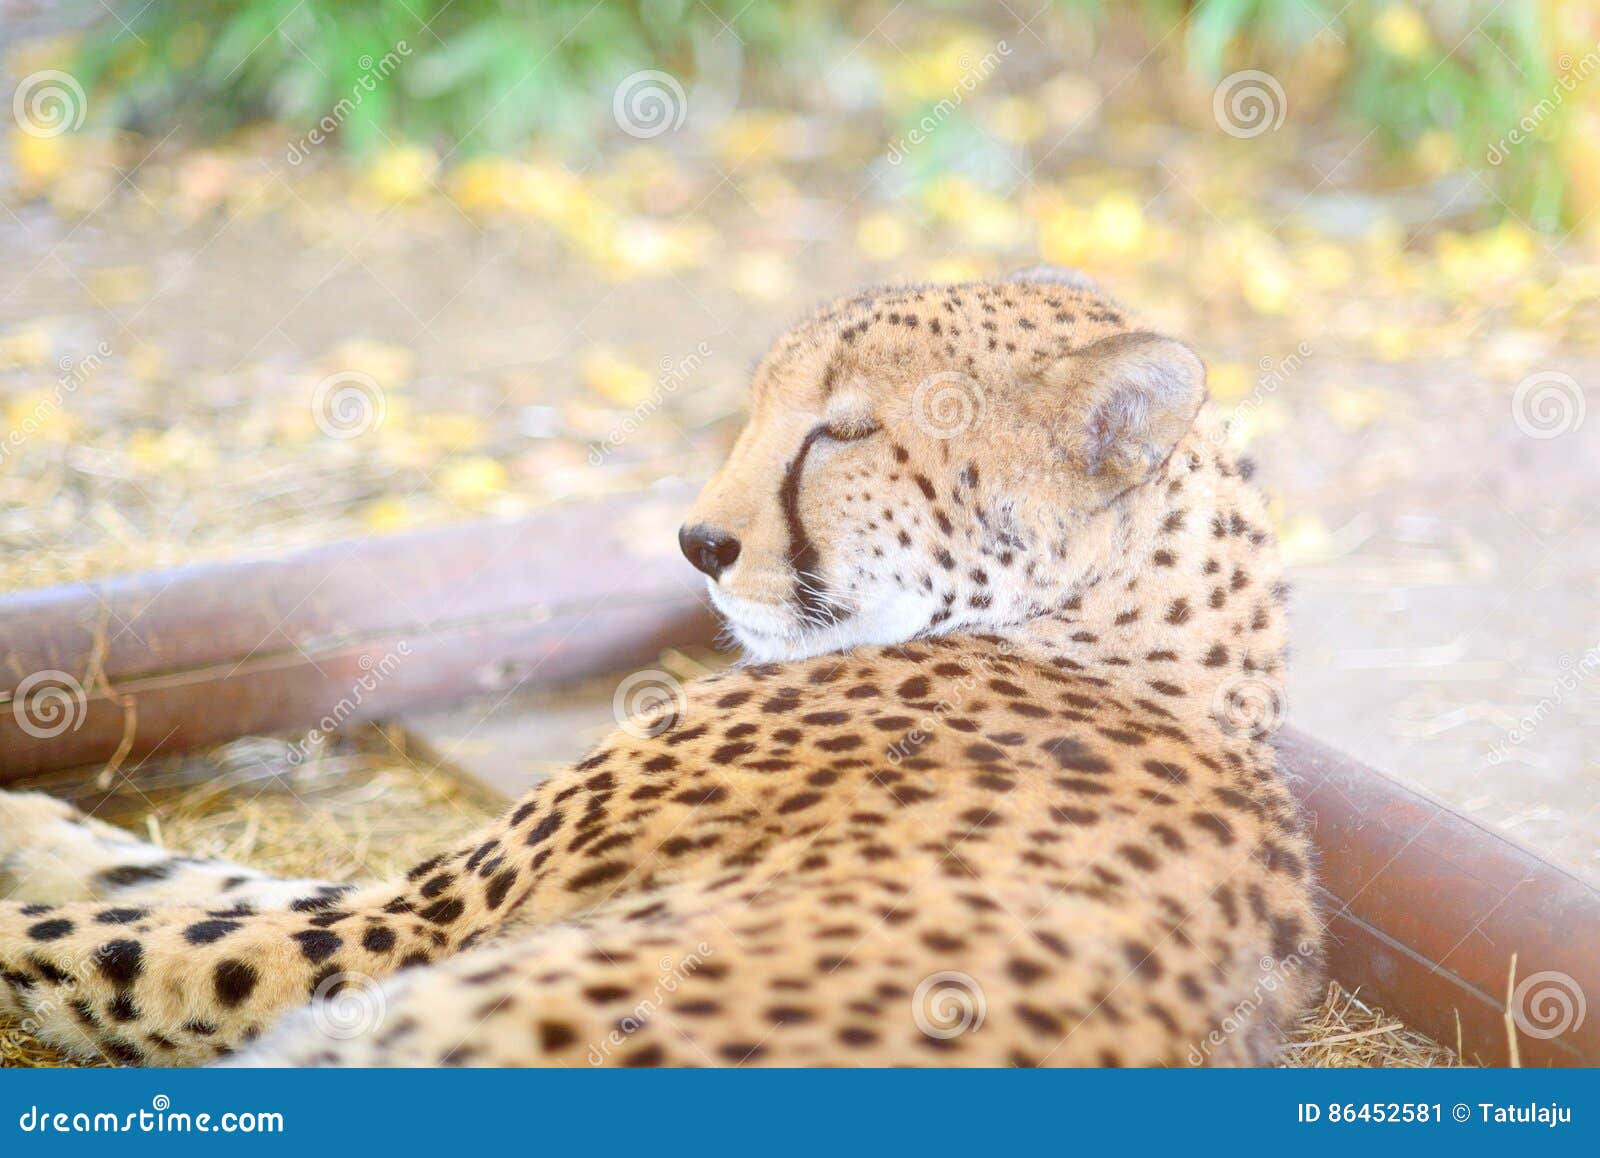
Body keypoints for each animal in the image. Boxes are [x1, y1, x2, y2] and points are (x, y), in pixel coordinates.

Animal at [0, 266, 1321, 1067]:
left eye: (845, 431)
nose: (699, 543)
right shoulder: (422, 905)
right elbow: (171, 875)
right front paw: (28, 822)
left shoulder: (411, 932)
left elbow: (102, 939)